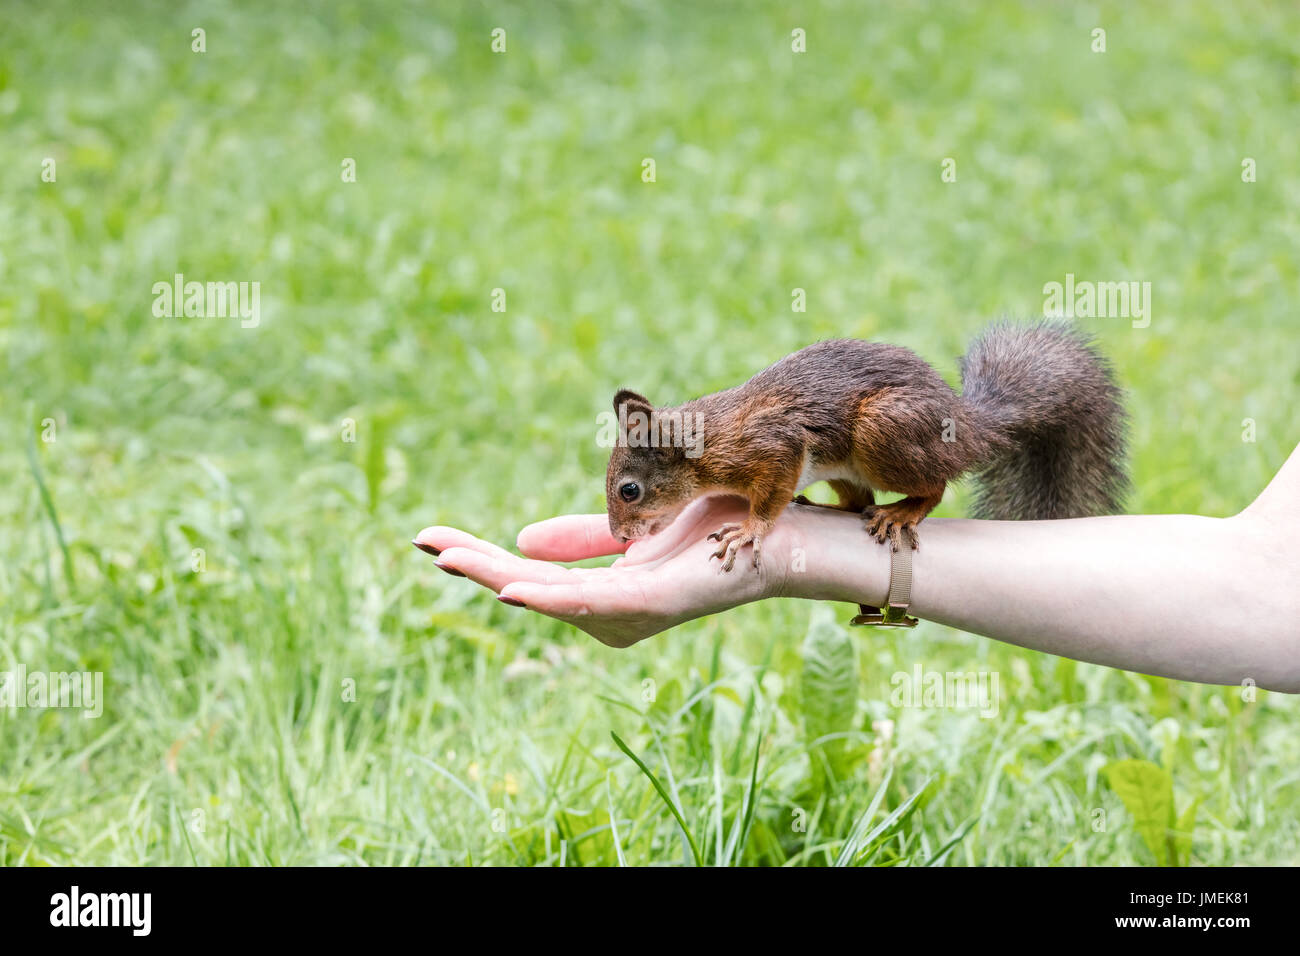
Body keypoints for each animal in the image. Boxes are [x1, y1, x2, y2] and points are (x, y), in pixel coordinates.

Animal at [604, 320, 1129, 571]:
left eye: (630, 490)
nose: (621, 537)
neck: (705, 443)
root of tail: (967, 427)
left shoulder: (771, 445)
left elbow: (769, 496)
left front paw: (749, 530)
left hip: (884, 430)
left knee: (935, 486)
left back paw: (903, 511)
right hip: (846, 465)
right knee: (859, 498)